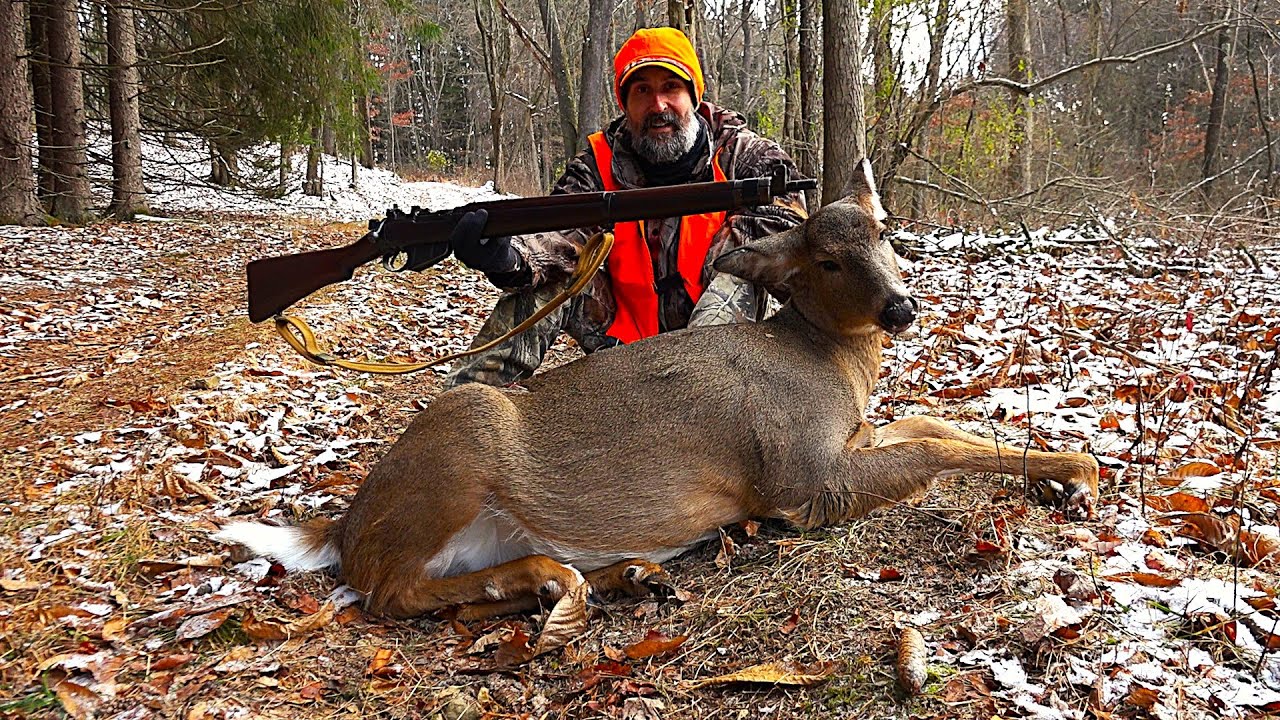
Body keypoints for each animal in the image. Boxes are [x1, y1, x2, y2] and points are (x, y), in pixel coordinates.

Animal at [214, 160, 1099, 620]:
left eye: (884, 231)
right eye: (827, 259)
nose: (901, 307)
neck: (828, 365)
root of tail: (343, 521)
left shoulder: (857, 433)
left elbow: (938, 430)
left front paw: (1073, 470)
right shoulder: (803, 478)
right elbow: (937, 458)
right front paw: (1082, 472)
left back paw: (614, 575)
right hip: (460, 440)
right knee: (386, 592)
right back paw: (558, 578)